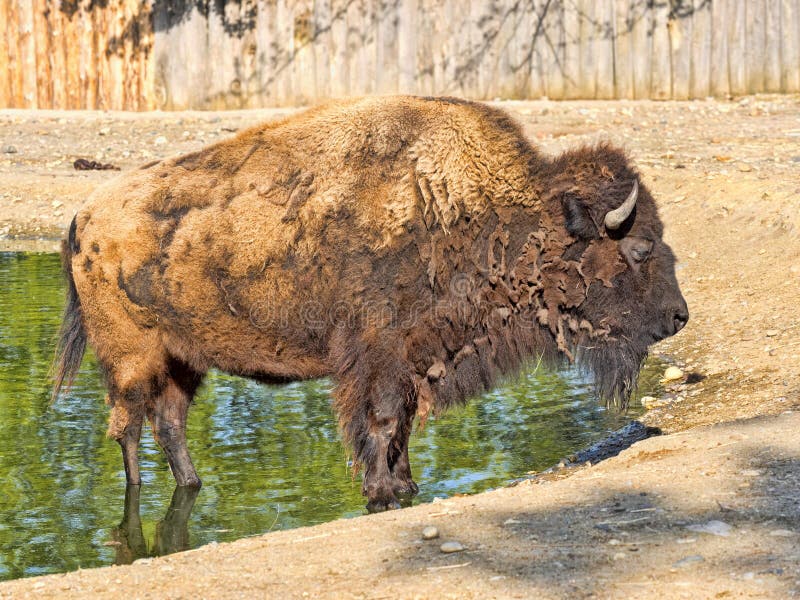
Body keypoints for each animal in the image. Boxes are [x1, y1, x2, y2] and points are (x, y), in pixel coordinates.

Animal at [53, 96, 688, 511]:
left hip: (185, 361)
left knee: (169, 422)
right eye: (638, 246)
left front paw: (405, 485)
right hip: (131, 360)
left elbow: (402, 423)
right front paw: (382, 492)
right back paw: (141, 498)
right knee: (128, 426)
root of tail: (83, 217)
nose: (679, 316)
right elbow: (381, 421)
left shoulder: (417, 359)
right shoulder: (381, 354)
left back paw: (190, 487)